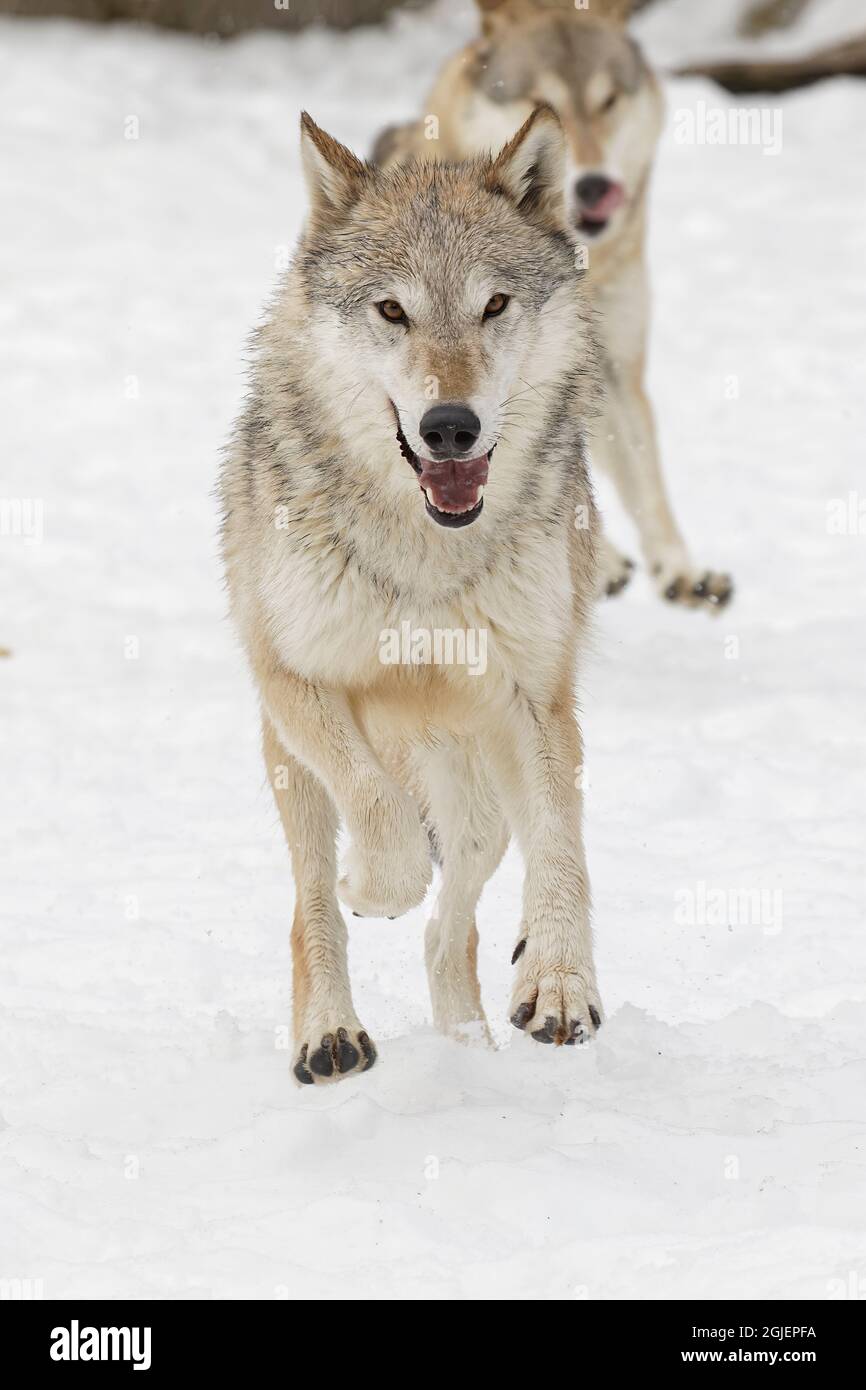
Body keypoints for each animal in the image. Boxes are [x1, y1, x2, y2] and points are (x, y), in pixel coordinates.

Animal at [220, 108, 604, 1082]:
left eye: (494, 305)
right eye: (392, 310)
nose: (450, 427)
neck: (429, 551)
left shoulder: (539, 696)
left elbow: (563, 846)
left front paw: (558, 982)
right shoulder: (292, 677)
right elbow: (377, 818)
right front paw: (371, 884)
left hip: (481, 797)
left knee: (452, 931)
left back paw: (472, 1040)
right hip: (291, 768)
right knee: (311, 902)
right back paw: (330, 1031)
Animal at [374, 0, 733, 609]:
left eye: (607, 101)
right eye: (545, 104)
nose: (593, 186)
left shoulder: (615, 370)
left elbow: (646, 479)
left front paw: (680, 569)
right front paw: (606, 558)